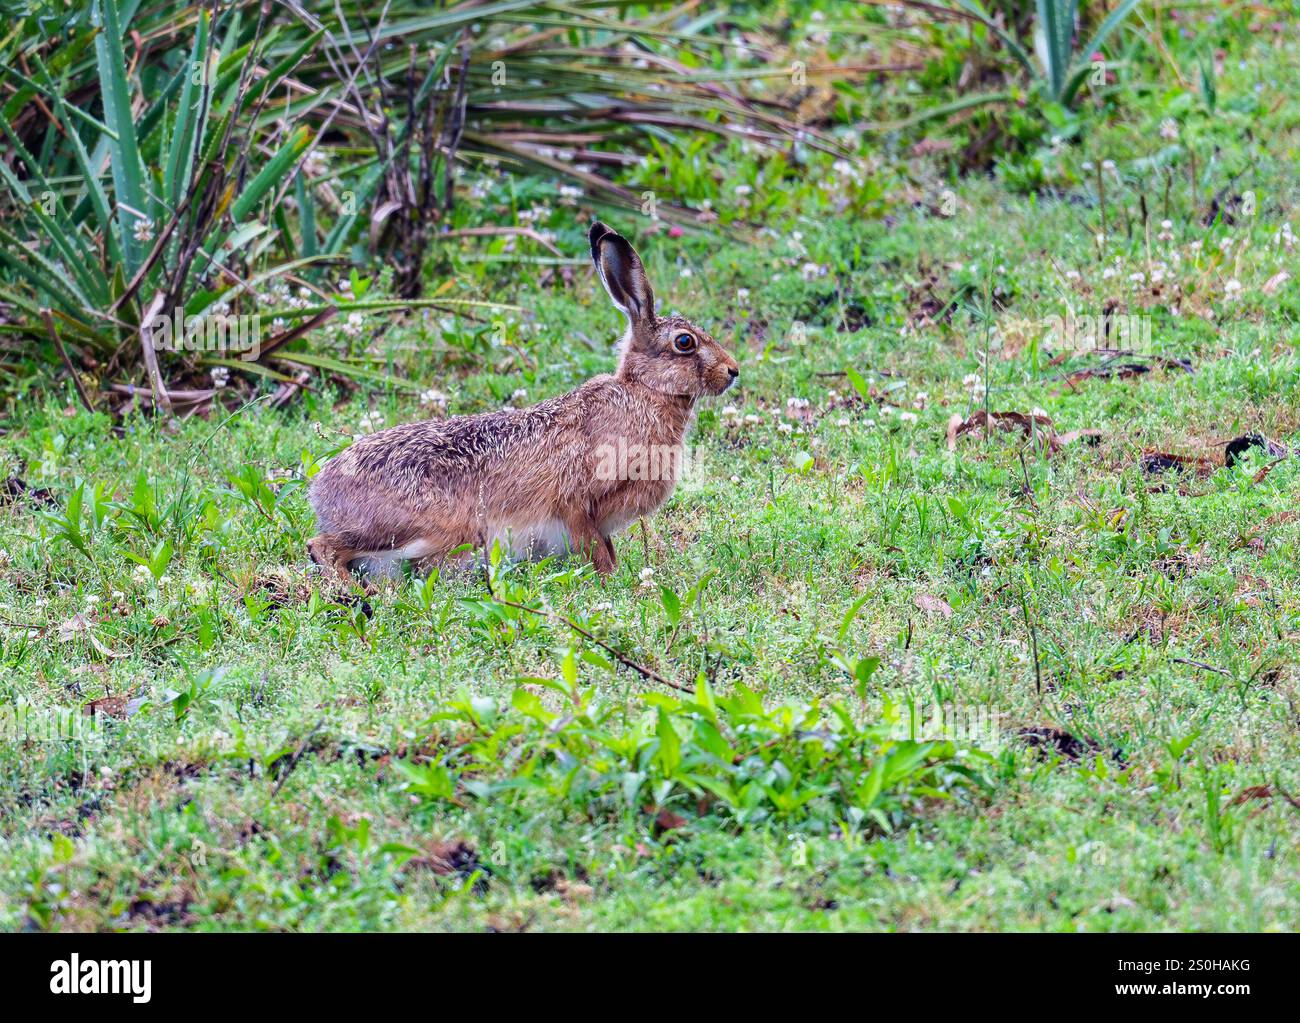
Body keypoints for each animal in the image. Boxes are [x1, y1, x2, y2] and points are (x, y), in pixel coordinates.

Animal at [306, 220, 739, 586]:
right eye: (685, 343)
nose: (733, 371)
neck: (643, 391)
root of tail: (321, 493)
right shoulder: (577, 504)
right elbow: (597, 552)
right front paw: (612, 583)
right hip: (428, 529)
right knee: (323, 547)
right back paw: (354, 594)